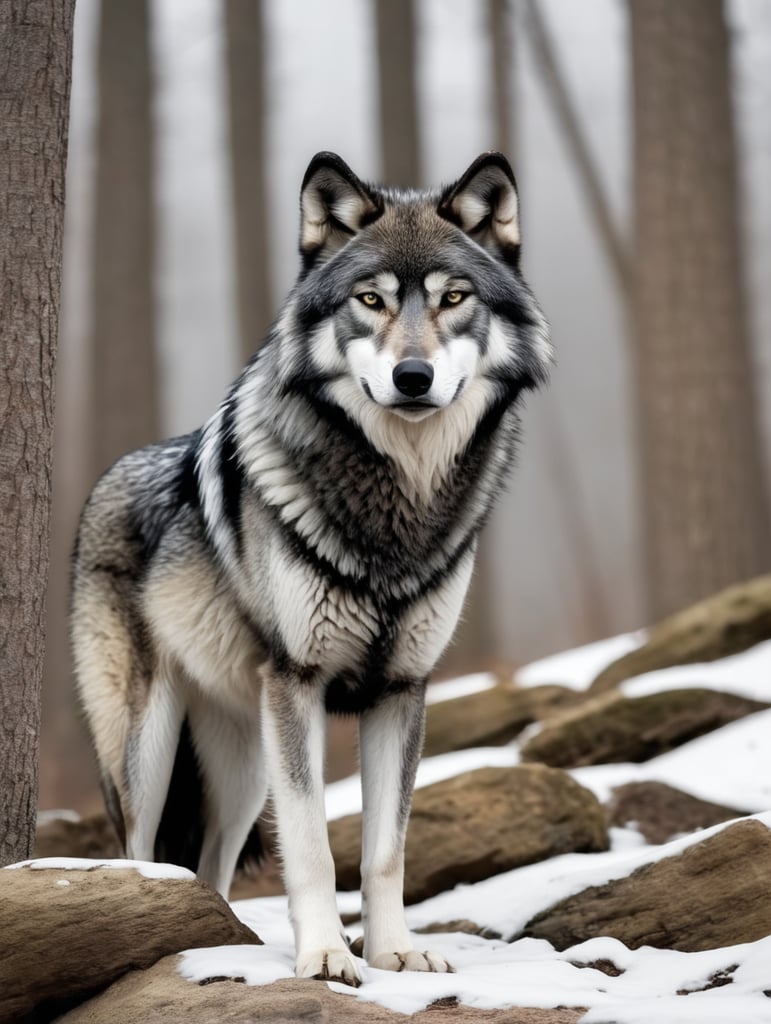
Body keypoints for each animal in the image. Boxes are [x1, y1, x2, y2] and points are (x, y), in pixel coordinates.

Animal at [71, 151, 551, 985]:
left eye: (453, 298)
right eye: (371, 300)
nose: (413, 377)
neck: (396, 510)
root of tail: (111, 475)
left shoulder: (401, 690)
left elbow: (386, 852)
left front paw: (395, 953)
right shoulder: (298, 684)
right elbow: (314, 848)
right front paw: (326, 956)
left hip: (238, 771)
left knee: (210, 865)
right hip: (151, 753)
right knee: (139, 854)